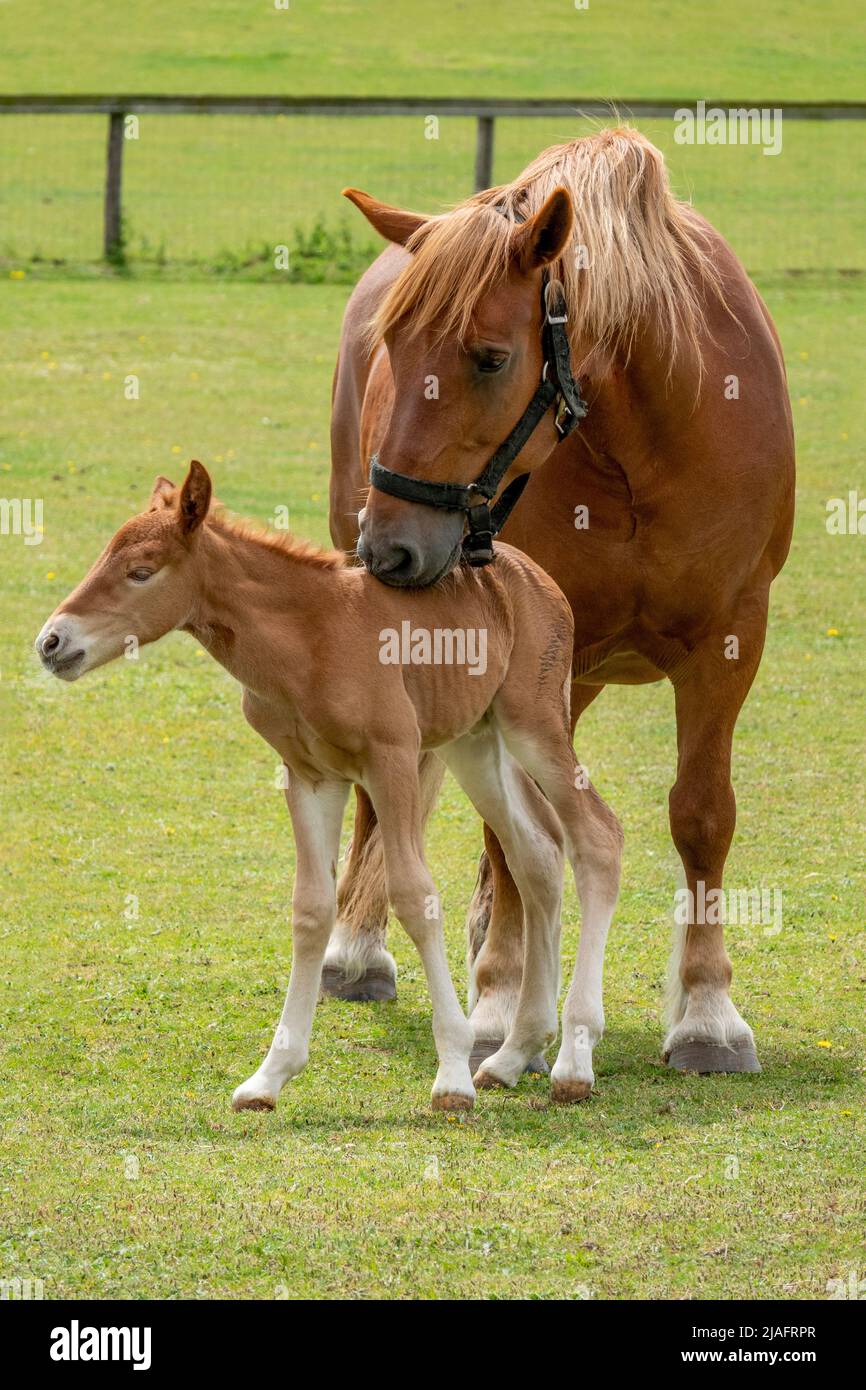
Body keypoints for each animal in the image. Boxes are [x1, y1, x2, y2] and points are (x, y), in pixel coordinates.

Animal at [34, 462, 622, 1110]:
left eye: (141, 571)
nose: (52, 643)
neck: (309, 639)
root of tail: (541, 581)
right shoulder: (310, 777)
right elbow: (312, 909)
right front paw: (270, 1076)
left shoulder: (392, 761)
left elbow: (415, 896)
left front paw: (450, 1075)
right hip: (474, 742)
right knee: (537, 854)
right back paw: (514, 1054)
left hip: (534, 724)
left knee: (596, 835)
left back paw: (572, 1060)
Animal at [326, 126, 795, 1075]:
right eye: (394, 347)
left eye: (490, 358)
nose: (387, 546)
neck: (647, 438)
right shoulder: (541, 667)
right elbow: (514, 841)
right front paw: (503, 1004)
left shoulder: (731, 641)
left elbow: (701, 814)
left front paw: (706, 1011)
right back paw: (363, 950)